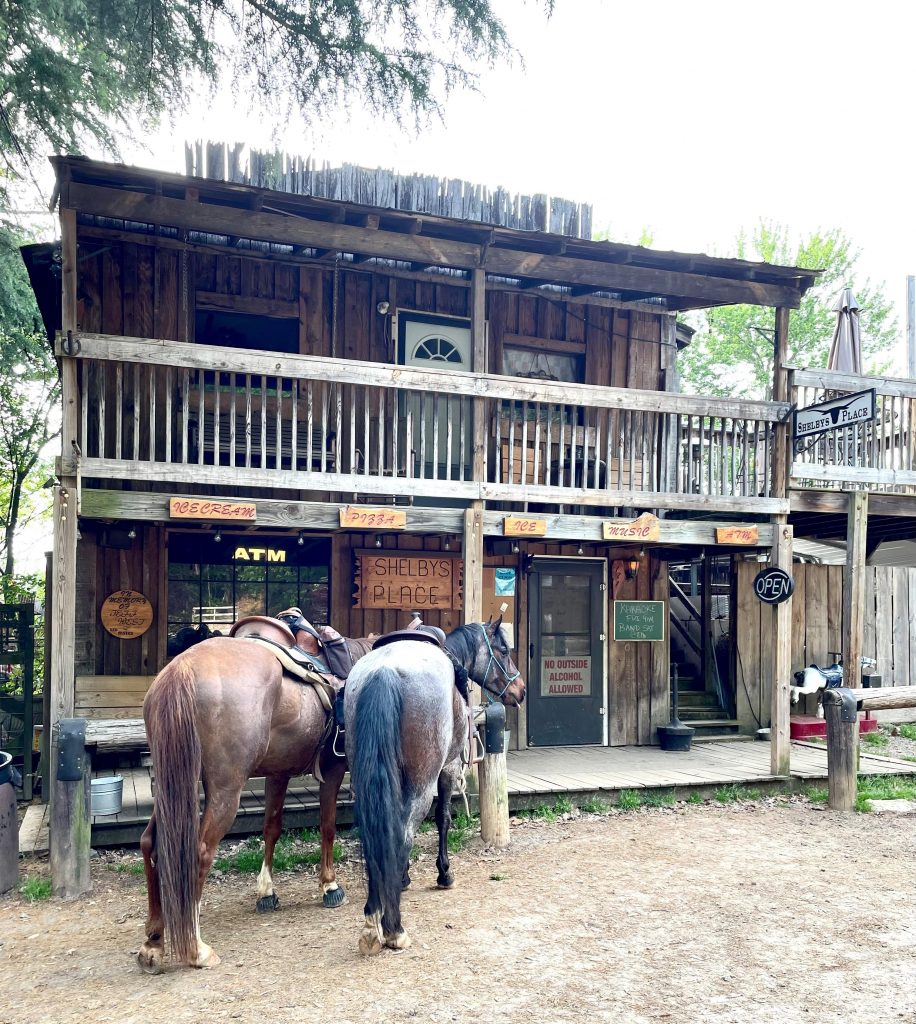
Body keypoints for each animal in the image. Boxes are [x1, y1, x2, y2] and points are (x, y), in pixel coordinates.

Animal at [136, 613, 377, 974]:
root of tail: (182, 669)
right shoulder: (333, 768)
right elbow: (328, 826)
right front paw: (329, 885)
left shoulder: (277, 773)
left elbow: (271, 828)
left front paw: (266, 892)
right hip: (225, 789)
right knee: (198, 851)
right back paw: (197, 950)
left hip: (172, 785)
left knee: (151, 843)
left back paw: (153, 941)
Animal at [345, 616, 526, 955]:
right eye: (504, 649)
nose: (520, 690)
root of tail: (384, 672)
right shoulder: (448, 769)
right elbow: (443, 819)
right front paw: (444, 873)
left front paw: (401, 878)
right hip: (422, 783)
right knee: (403, 834)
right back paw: (394, 928)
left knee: (378, 836)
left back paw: (373, 921)